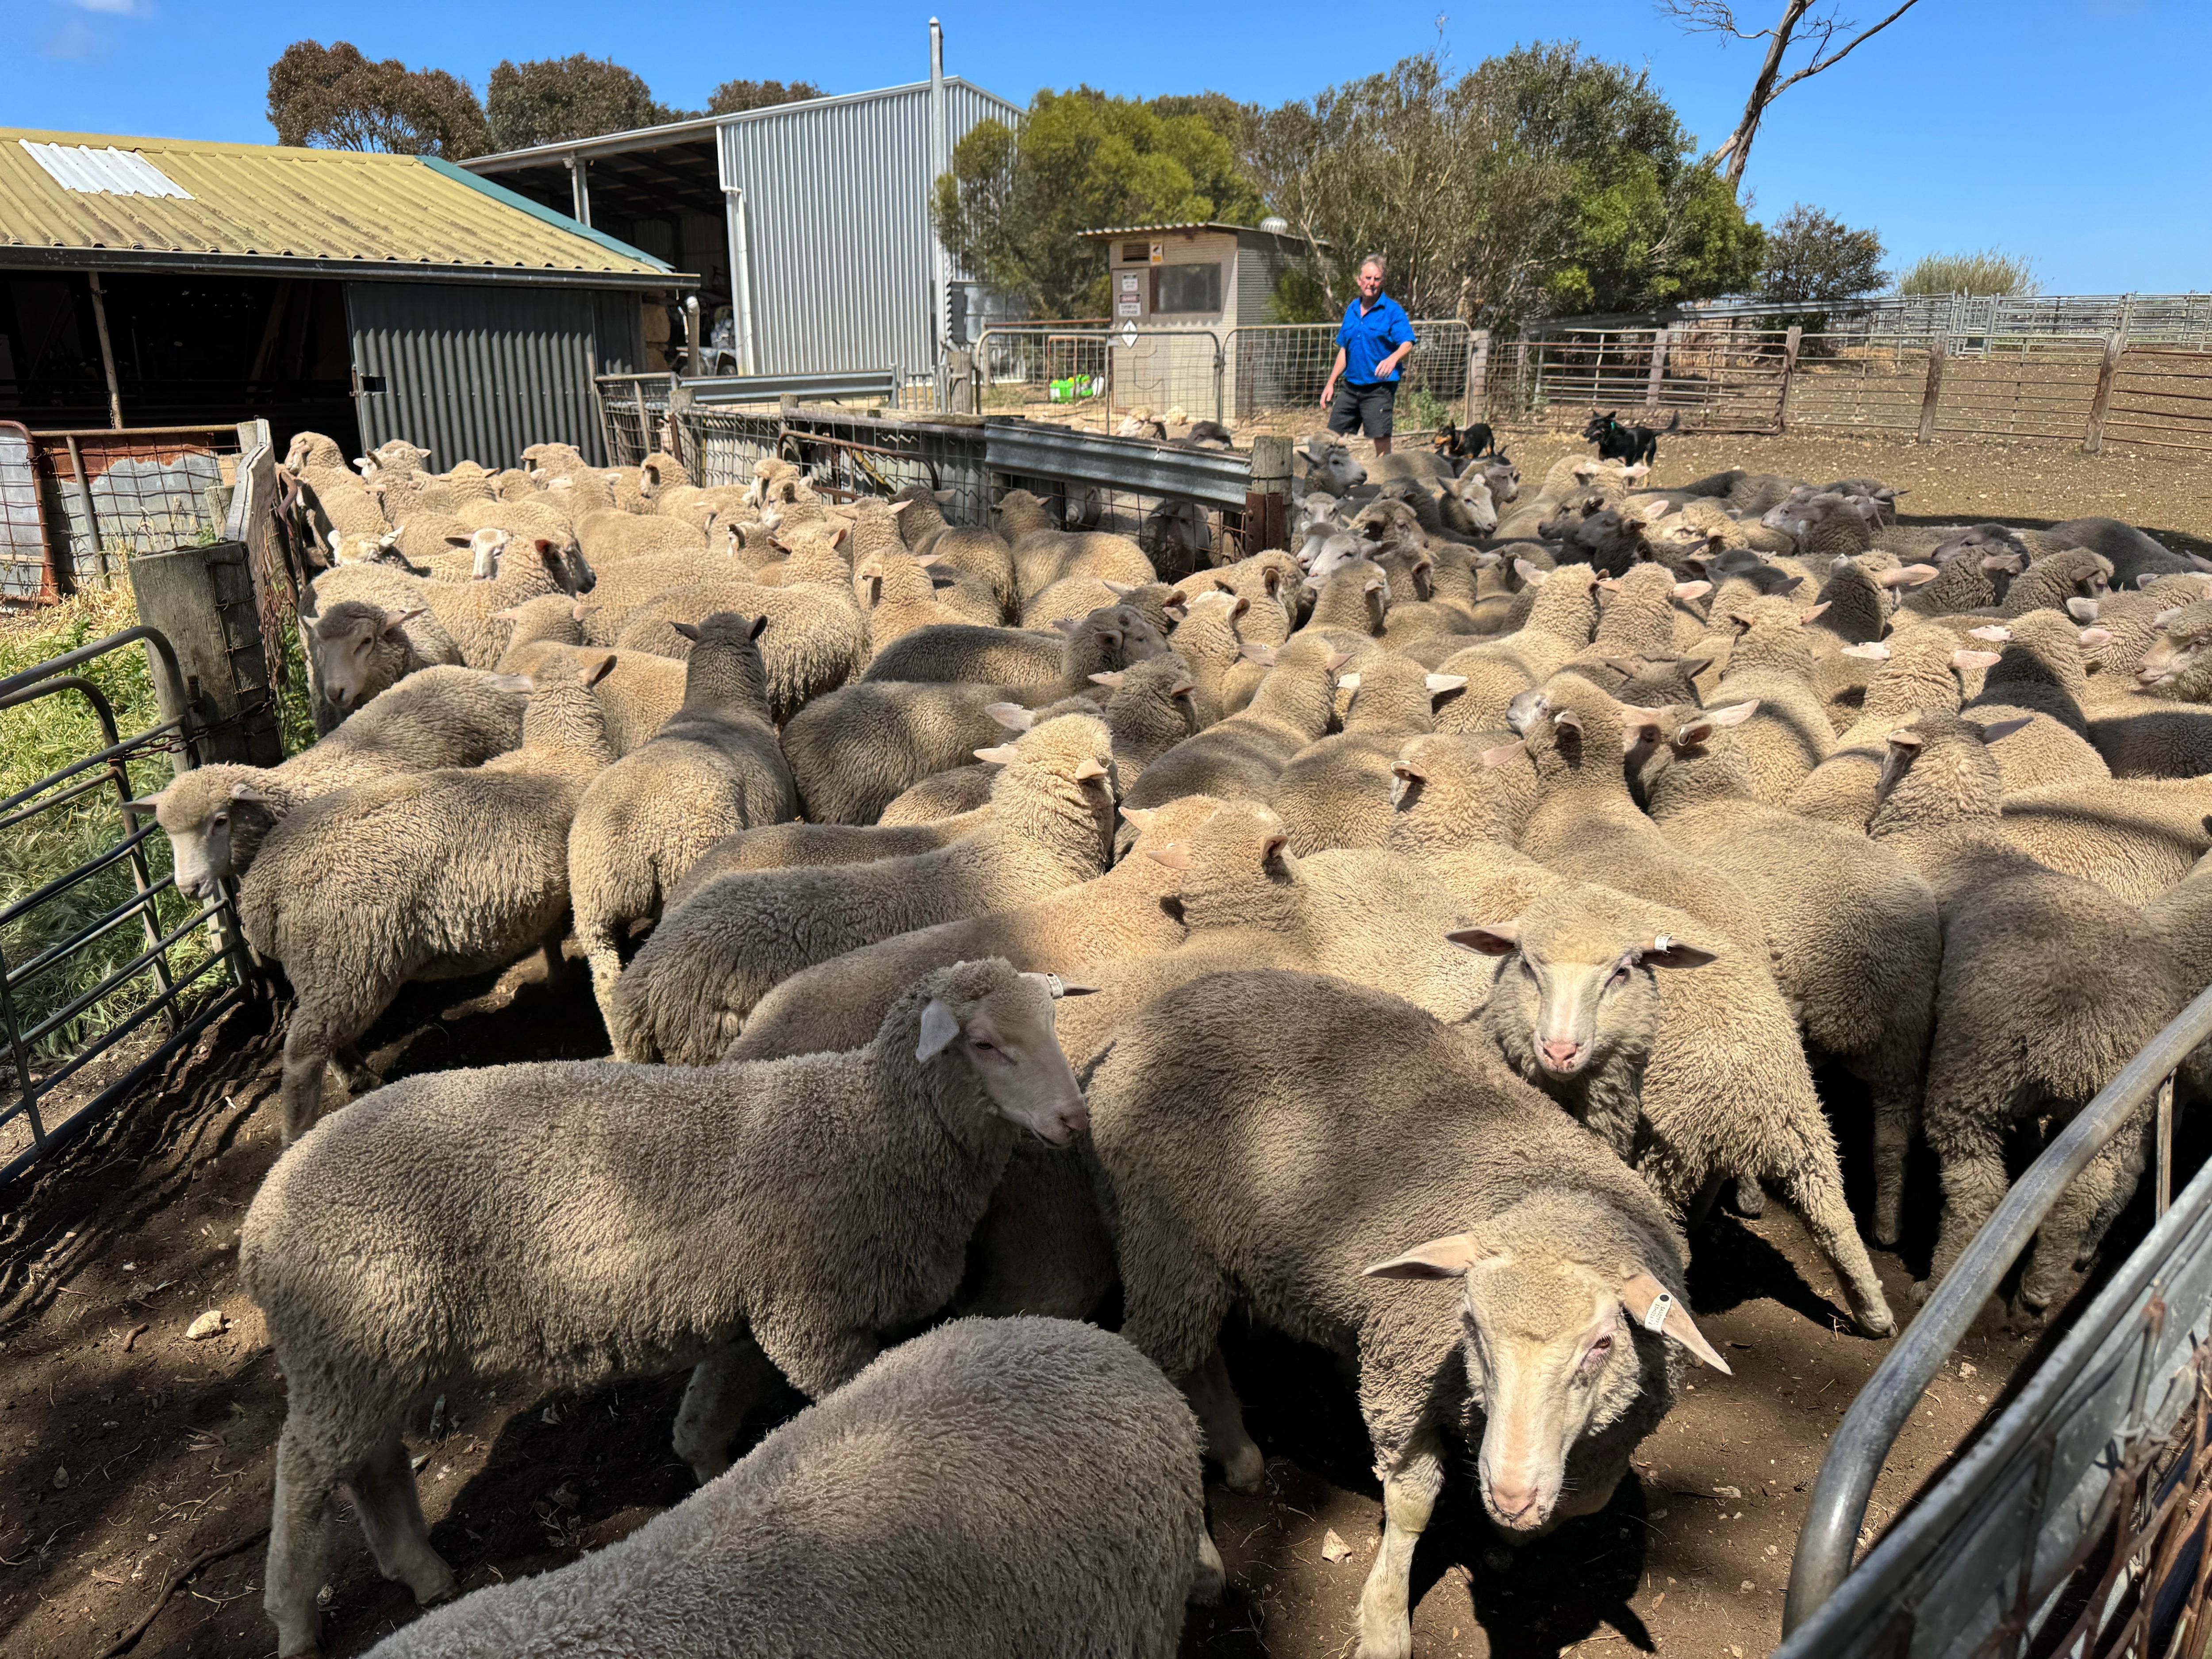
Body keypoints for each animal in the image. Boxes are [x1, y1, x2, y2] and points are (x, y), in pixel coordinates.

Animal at [239, 661, 617, 1144]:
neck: (559, 757)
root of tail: (261, 891)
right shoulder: (570, 883)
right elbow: (557, 935)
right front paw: (563, 981)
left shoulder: (550, 892)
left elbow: (549, 937)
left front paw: (556, 978)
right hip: (350, 957)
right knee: (303, 1050)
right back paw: (298, 1131)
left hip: (322, 966)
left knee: (322, 1036)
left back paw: (359, 1077)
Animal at [243, 958, 1092, 1657]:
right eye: (984, 1043)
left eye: (1052, 1026)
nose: (1074, 1120)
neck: (868, 1128)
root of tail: (265, 1208)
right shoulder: (811, 1318)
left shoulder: (761, 1308)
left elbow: (717, 1395)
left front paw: (709, 1463)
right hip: (345, 1346)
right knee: (306, 1470)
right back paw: (294, 1620)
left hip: (374, 1346)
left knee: (371, 1461)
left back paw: (421, 1570)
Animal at [1090, 968, 1723, 1659]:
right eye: (1470, 1324)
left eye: (1603, 1344)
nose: (1510, 1494)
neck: (1550, 1195)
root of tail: (1149, 1017)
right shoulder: (1402, 1380)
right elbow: (1413, 1504)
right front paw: (1385, 1623)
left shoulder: (1609, 1440)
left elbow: (1588, 1501)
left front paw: (1519, 1531)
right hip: (1166, 1237)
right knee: (1157, 1369)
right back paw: (1203, 1561)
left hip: (1192, 1255)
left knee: (1197, 1359)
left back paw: (1238, 1455)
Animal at [1866, 708, 2184, 1307]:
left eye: (1891, 753)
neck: (1945, 832)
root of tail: (2082, 1036)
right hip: (2116, 1112)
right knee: (2085, 1188)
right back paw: (2038, 1291)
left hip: (1973, 1072)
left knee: (1978, 1189)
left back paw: (1937, 1284)